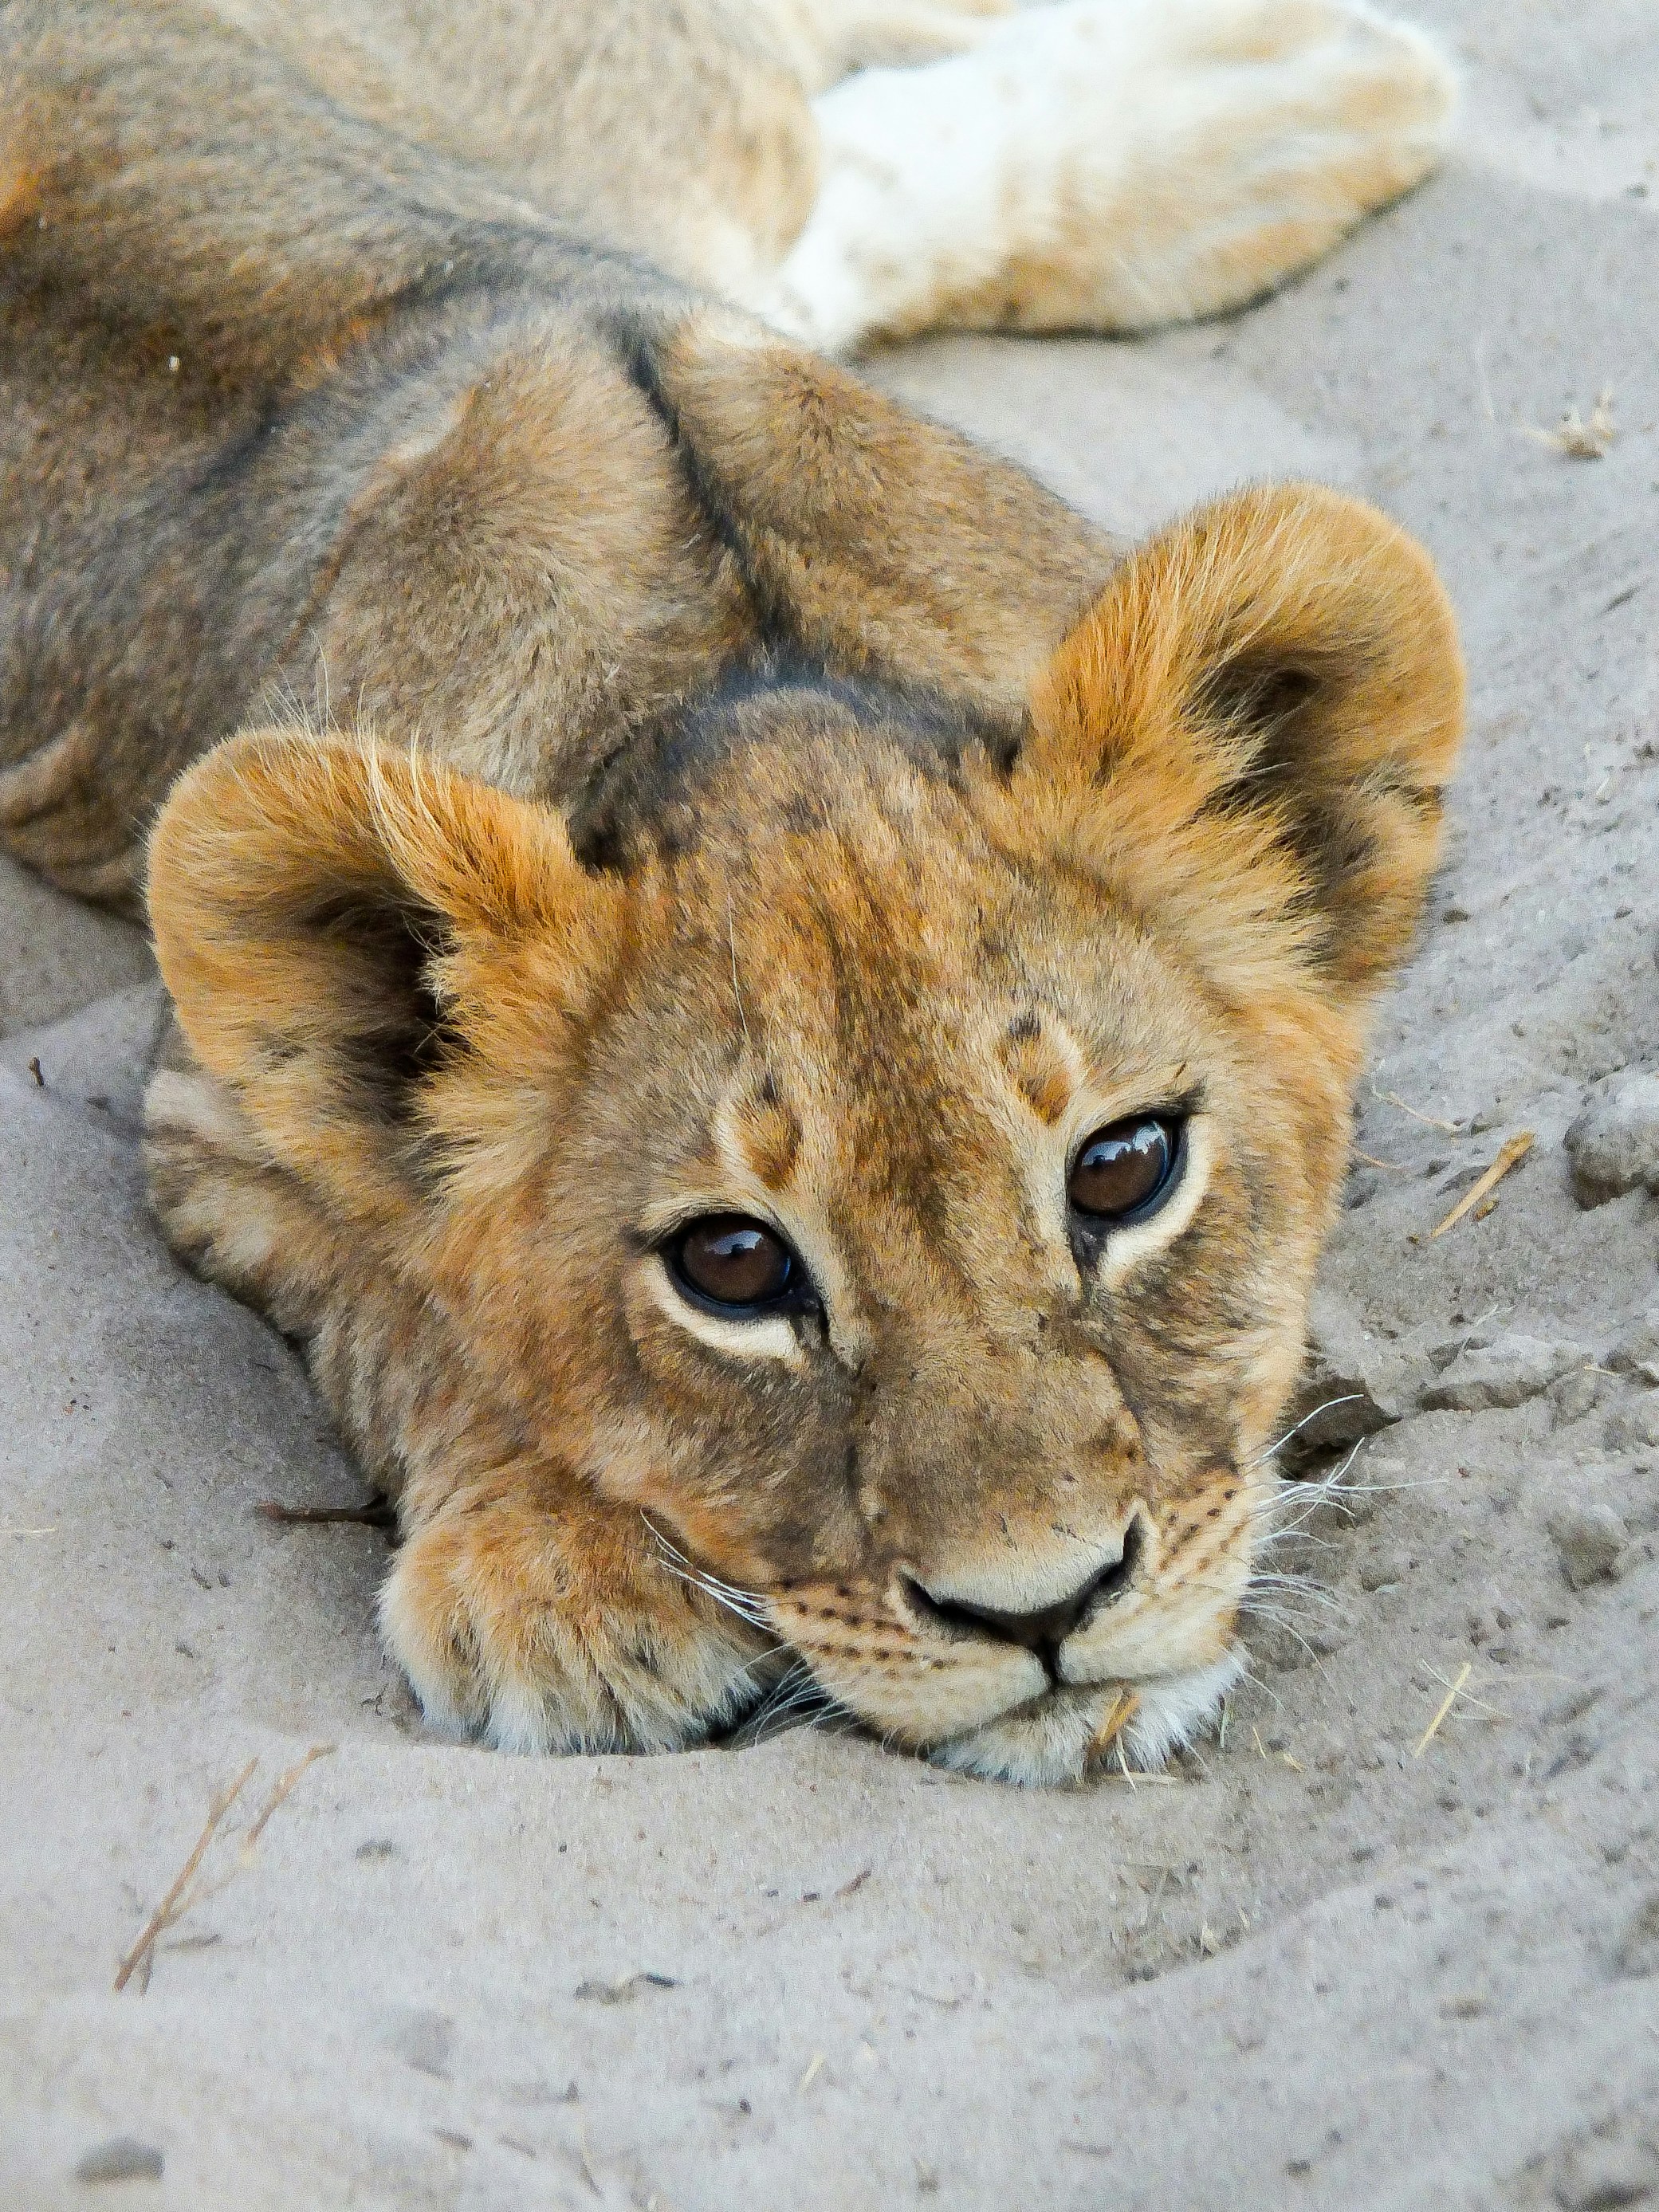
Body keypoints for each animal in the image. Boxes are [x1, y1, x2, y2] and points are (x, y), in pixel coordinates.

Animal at [0, 0, 1463, 1784]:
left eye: (1123, 1170)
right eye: (734, 1269)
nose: (1043, 1610)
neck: (746, 653)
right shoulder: (208, 1119)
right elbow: (407, 1312)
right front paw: (556, 1574)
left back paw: (1316, 100)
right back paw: (1307, 102)